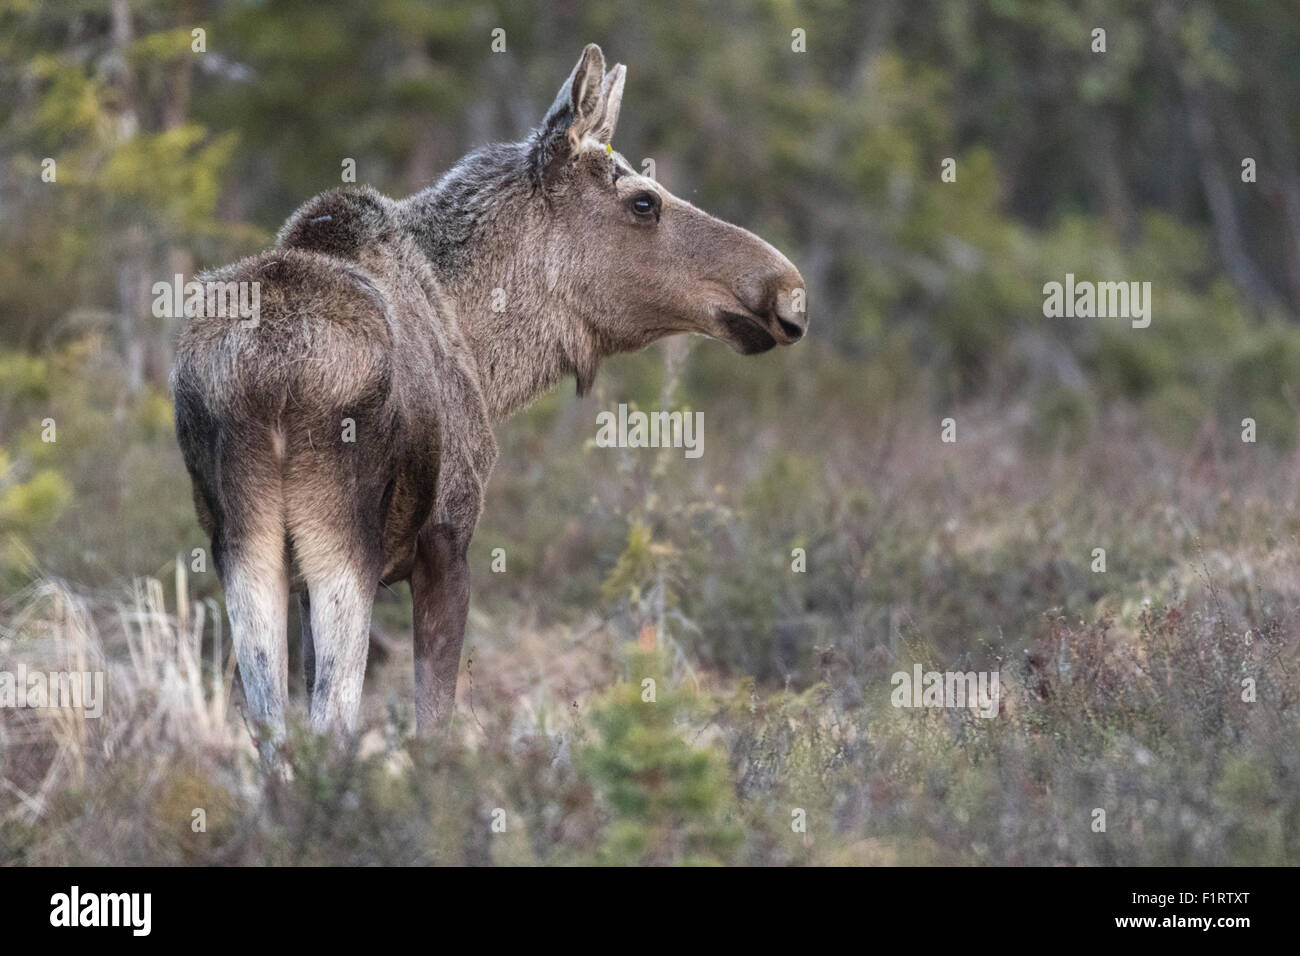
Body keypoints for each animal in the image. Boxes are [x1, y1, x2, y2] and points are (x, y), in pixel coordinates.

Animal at [170, 44, 808, 755]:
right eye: (644, 201)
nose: (787, 290)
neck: (485, 350)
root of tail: (270, 377)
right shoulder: (446, 537)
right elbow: (432, 724)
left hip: (243, 545)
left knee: (270, 727)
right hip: (340, 541)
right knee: (331, 723)